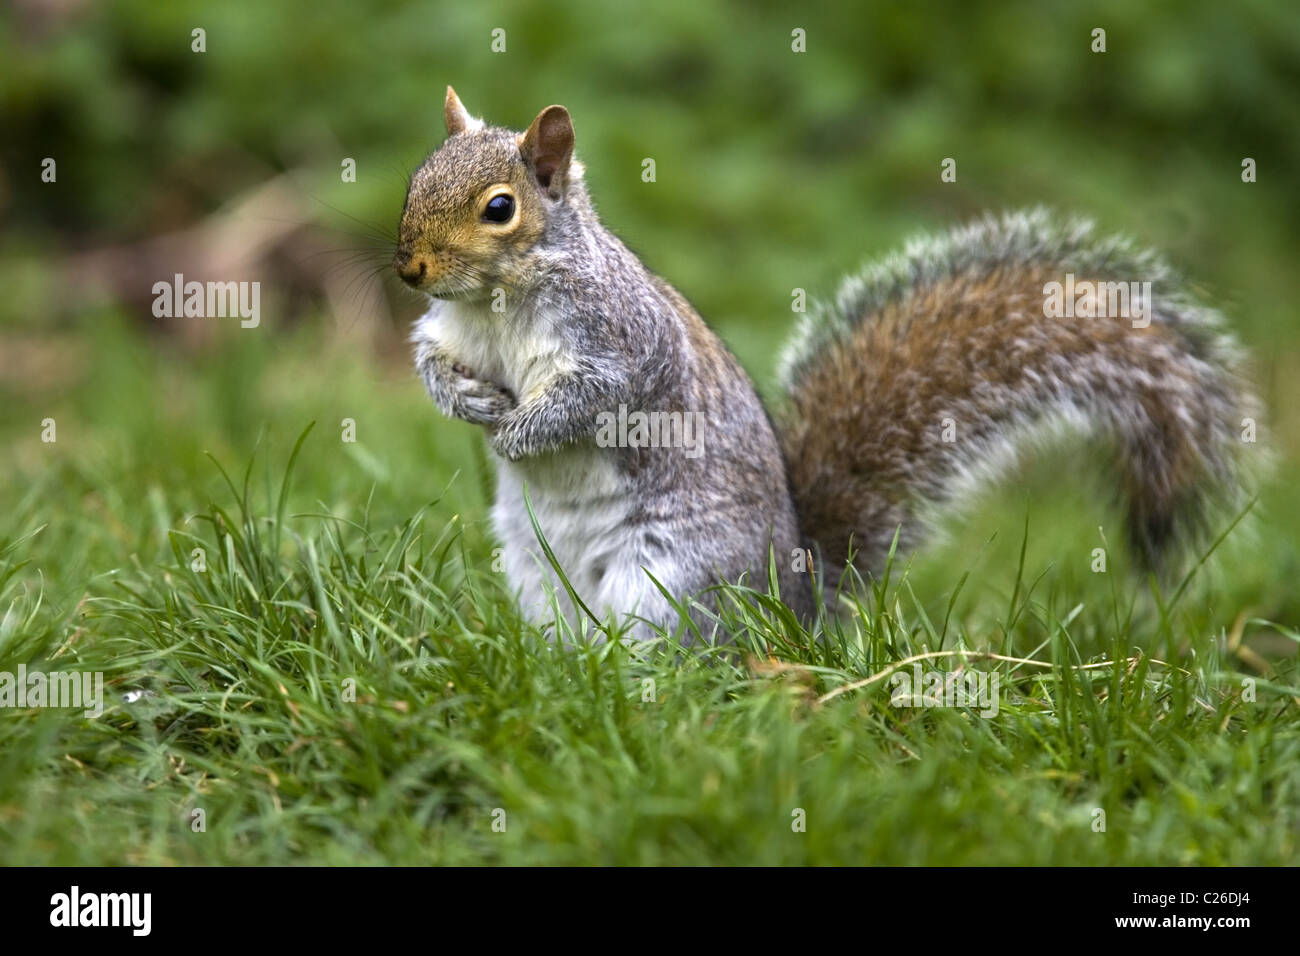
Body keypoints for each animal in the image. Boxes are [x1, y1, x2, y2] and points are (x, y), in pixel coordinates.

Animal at [394, 87, 1259, 640]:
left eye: (500, 208)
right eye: (416, 179)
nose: (409, 268)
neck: (496, 302)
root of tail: (799, 603)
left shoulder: (621, 345)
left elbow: (590, 398)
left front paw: (520, 433)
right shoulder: (447, 331)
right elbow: (433, 365)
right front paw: (470, 405)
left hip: (670, 581)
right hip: (535, 575)